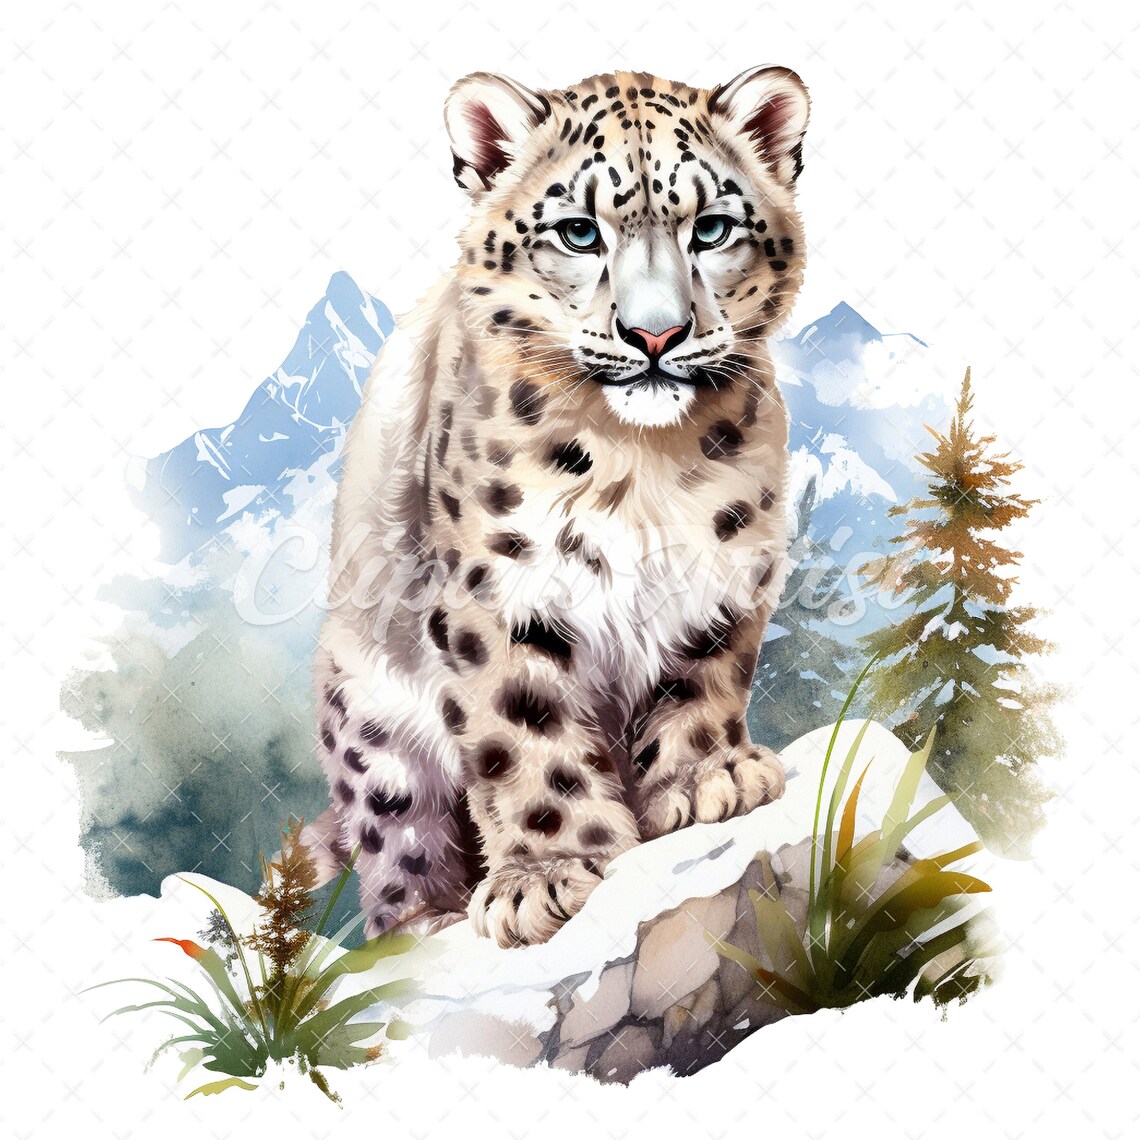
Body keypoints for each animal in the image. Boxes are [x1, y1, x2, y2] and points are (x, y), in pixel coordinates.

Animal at [302, 65, 811, 948]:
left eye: (712, 228)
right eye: (579, 232)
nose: (656, 334)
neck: (643, 463)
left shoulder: (725, 564)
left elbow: (703, 678)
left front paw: (707, 779)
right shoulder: (501, 589)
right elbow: (523, 729)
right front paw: (547, 872)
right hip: (372, 731)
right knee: (395, 849)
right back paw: (431, 920)